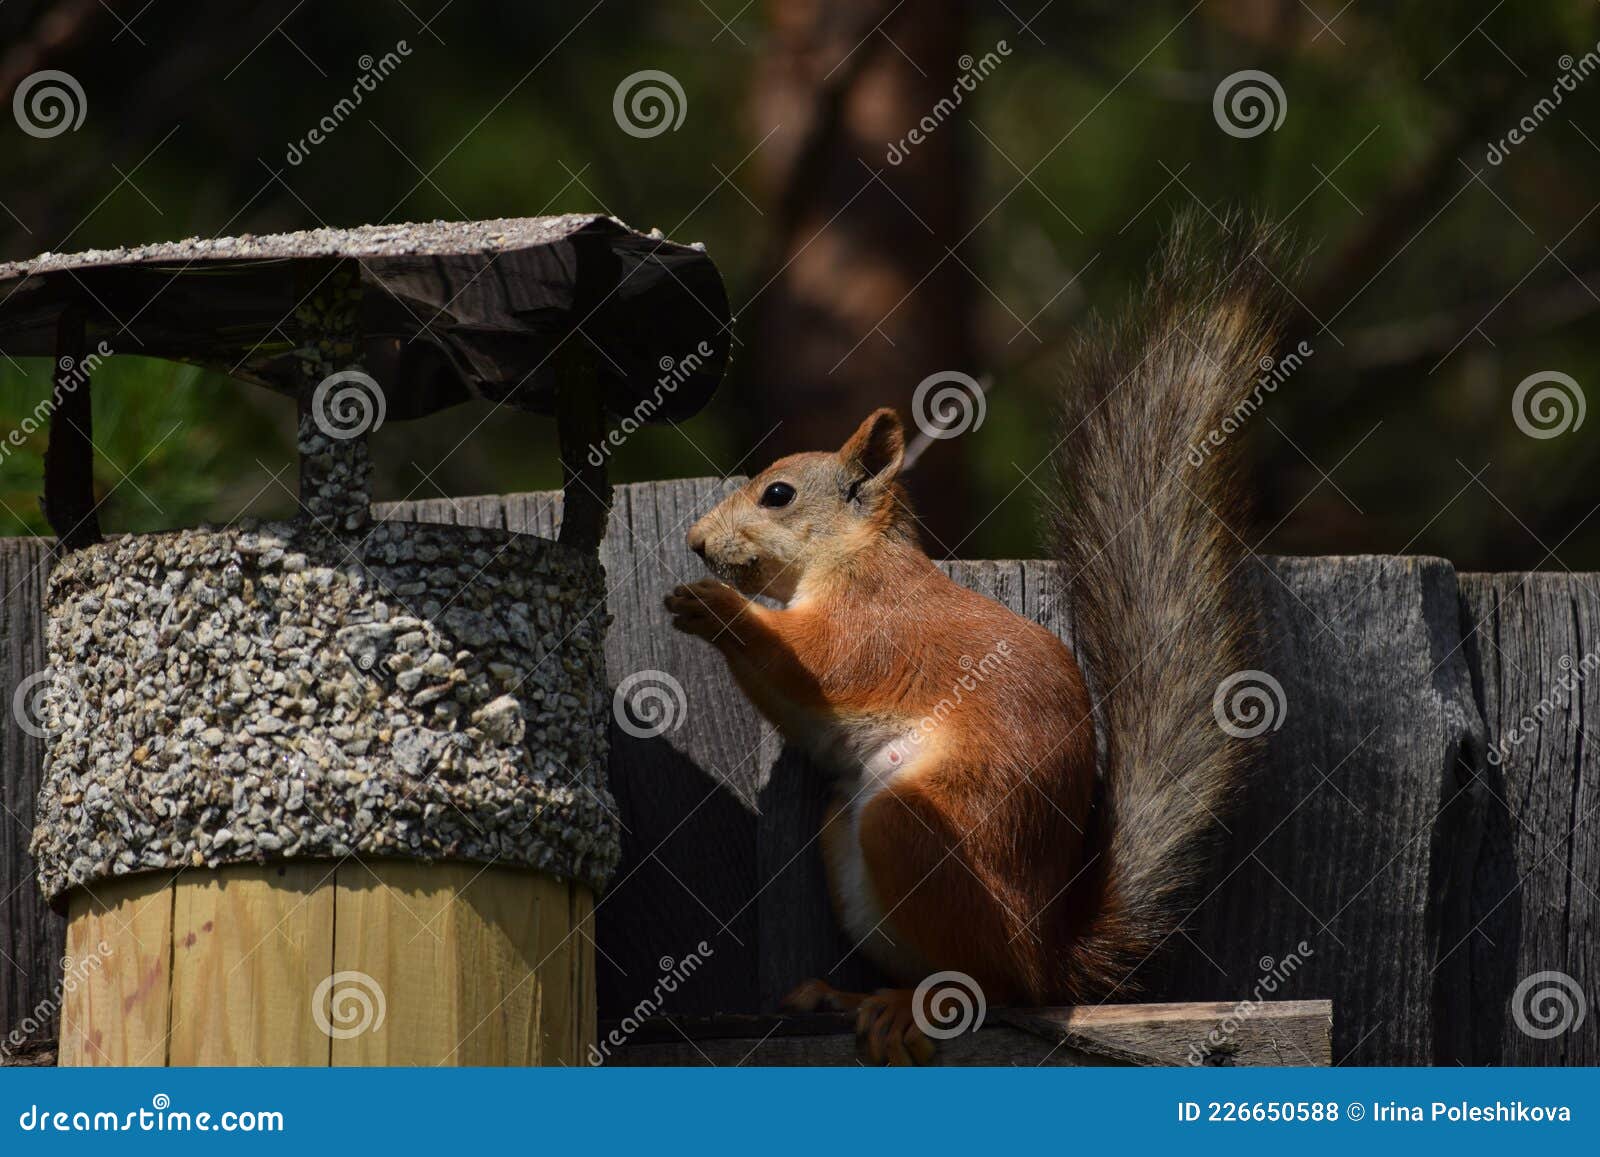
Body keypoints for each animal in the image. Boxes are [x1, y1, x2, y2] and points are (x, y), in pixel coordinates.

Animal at [666, 214, 1289, 1064]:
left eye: (779, 494)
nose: (696, 541)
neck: (855, 556)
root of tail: (1046, 955)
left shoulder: (874, 624)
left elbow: (816, 660)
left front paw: (719, 608)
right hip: (845, 837)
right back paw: (846, 993)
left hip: (918, 829)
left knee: (987, 987)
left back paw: (912, 1006)